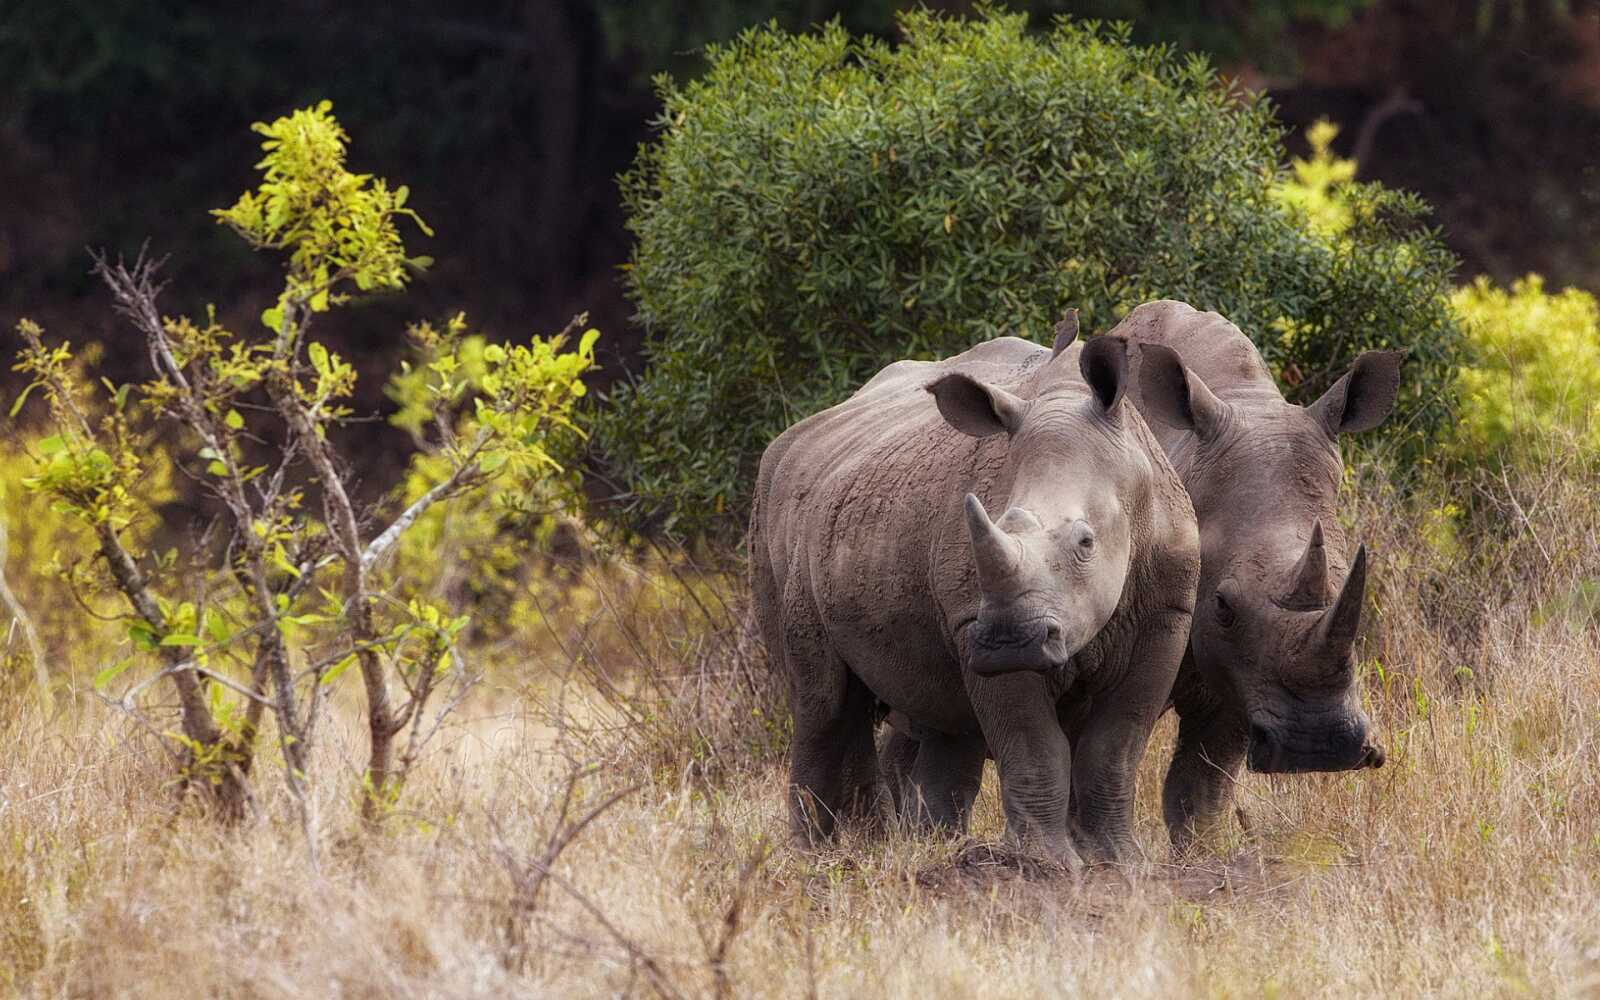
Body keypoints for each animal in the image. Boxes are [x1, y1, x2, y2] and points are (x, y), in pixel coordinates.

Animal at [749, 328, 1200, 869]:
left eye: (1085, 542)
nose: (1009, 643)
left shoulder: (1166, 615)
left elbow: (1115, 748)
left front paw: (1119, 863)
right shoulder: (971, 620)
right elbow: (1033, 744)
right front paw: (1049, 865)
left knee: (939, 715)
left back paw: (914, 846)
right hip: (780, 522)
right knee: (824, 701)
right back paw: (816, 856)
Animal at [882, 300, 1397, 856]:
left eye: (1350, 586)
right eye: (1223, 605)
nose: (1318, 747)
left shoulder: (1235, 663)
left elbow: (1206, 770)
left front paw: (1202, 850)